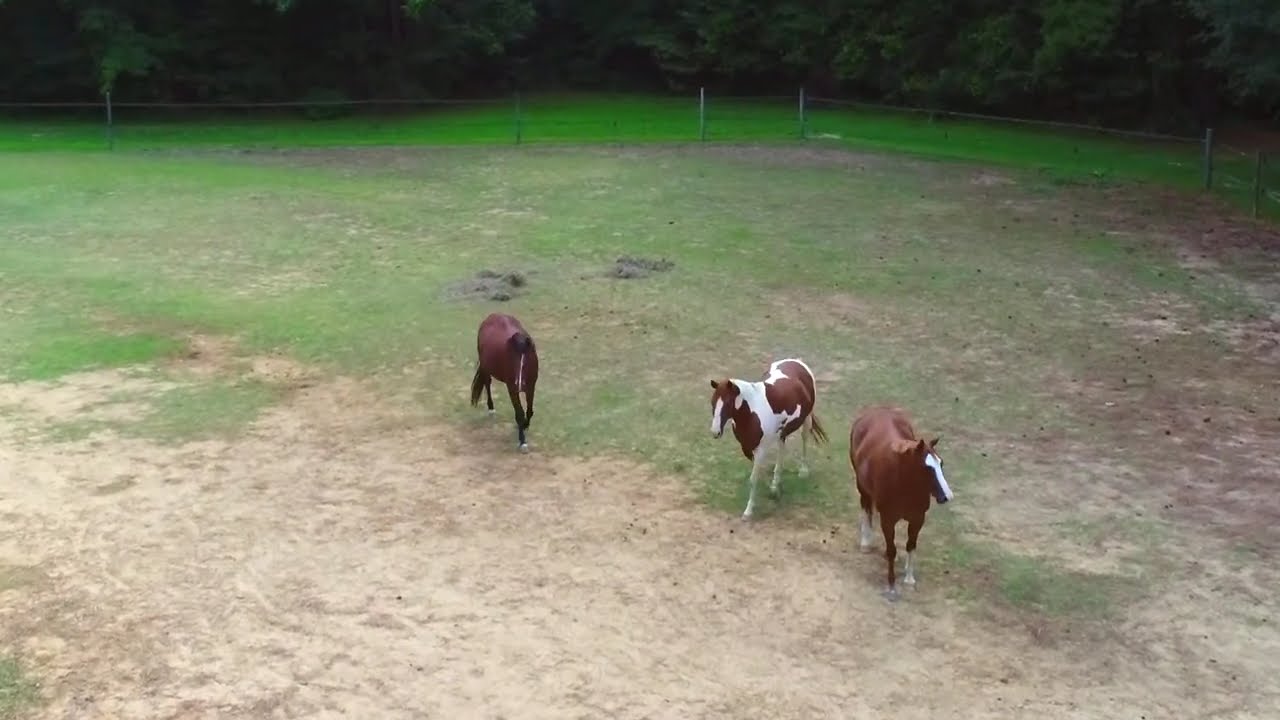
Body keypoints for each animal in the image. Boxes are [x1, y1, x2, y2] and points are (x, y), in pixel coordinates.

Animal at [470, 312, 539, 452]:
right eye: (511, 359)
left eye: (527, 361)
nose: (519, 384)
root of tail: (493, 315)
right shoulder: (512, 389)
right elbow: (519, 414)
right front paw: (522, 441)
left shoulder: (531, 386)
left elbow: (529, 410)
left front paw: (525, 426)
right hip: (486, 368)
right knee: (487, 384)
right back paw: (491, 409)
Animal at [709, 358, 829, 520]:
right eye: (713, 402)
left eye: (727, 403)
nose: (715, 432)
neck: (751, 413)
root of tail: (797, 361)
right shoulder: (747, 448)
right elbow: (758, 475)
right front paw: (773, 490)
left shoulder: (760, 450)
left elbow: (753, 479)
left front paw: (748, 511)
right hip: (782, 433)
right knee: (781, 451)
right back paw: (776, 482)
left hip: (807, 419)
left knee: (804, 439)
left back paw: (803, 471)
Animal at [849, 405, 953, 599]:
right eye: (927, 467)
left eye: (941, 463)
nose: (947, 496)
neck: (903, 483)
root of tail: (877, 410)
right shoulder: (887, 519)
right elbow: (891, 549)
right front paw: (891, 586)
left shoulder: (918, 518)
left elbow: (910, 545)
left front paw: (909, 579)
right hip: (862, 487)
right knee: (866, 507)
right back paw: (866, 542)